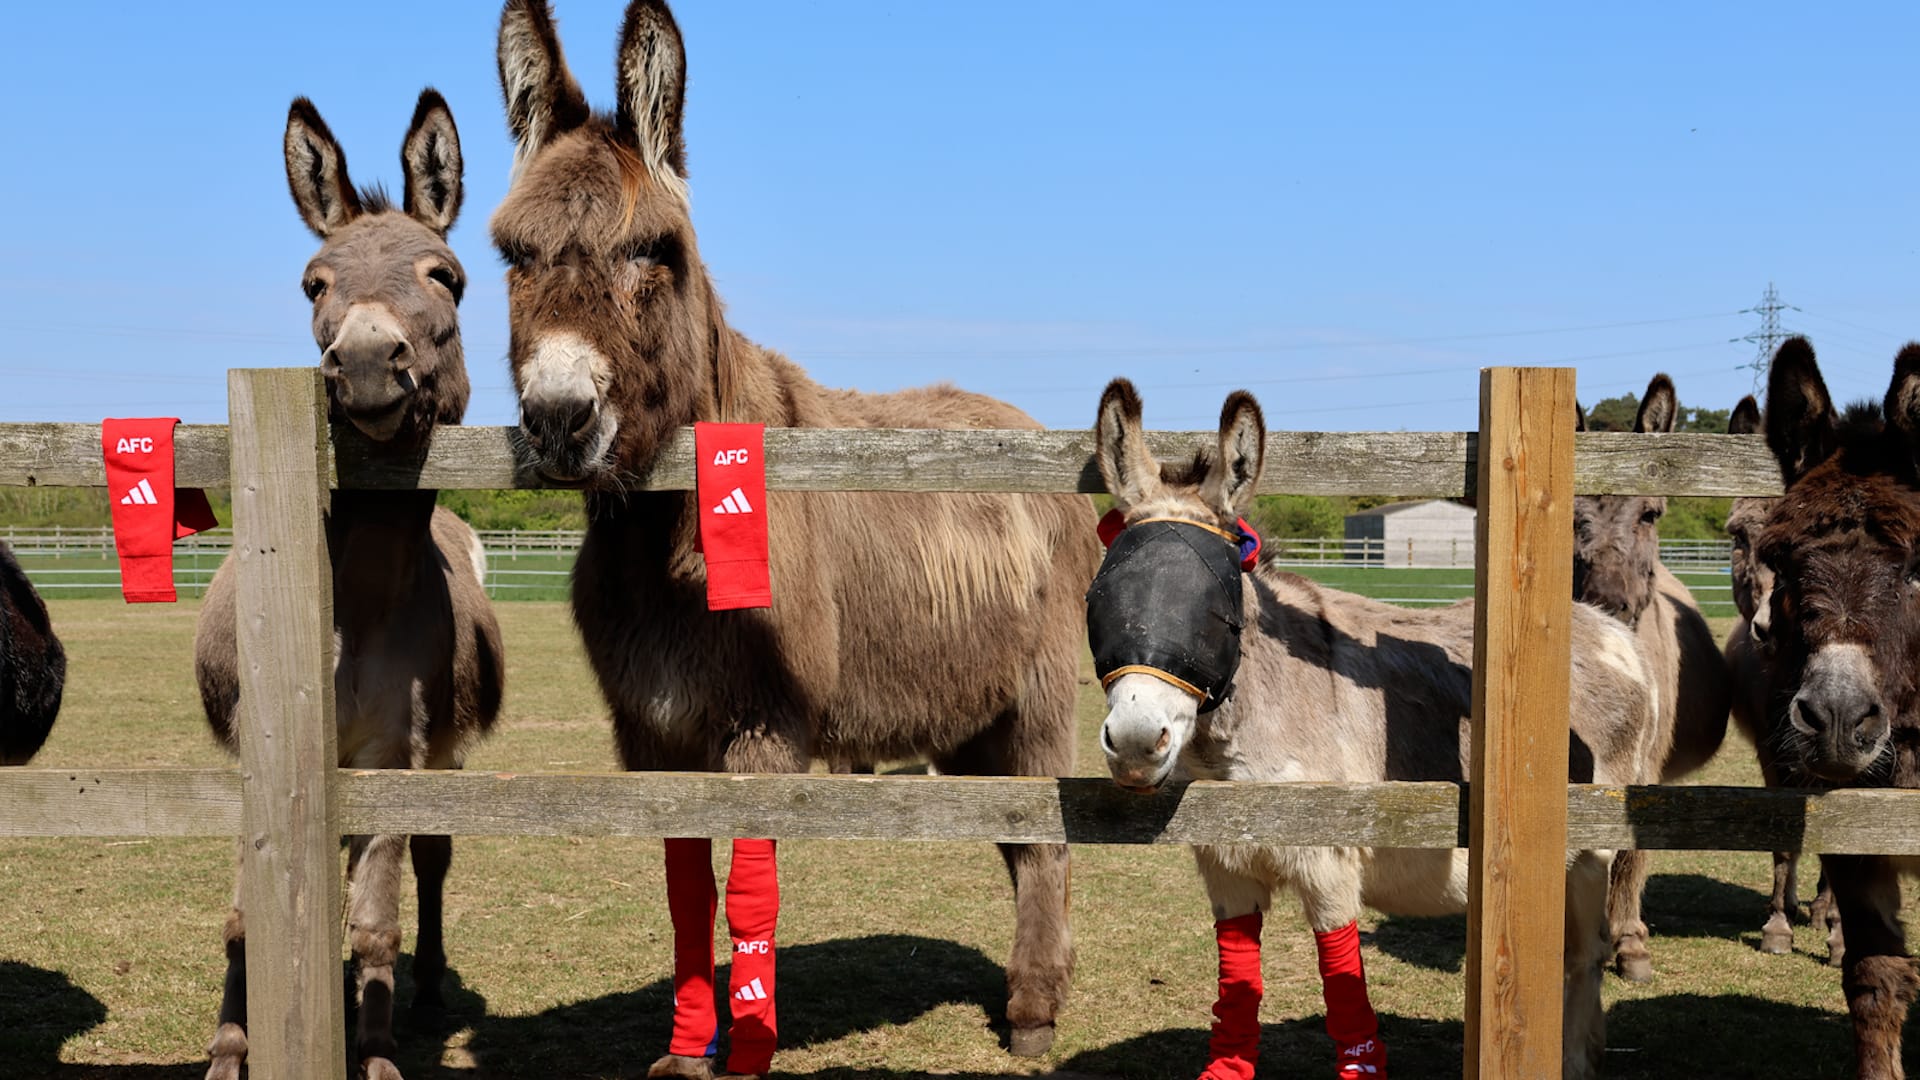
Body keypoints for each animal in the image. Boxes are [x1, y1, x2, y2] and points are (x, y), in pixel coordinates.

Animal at [192, 91, 504, 1080]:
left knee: (433, 862)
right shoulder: (264, 752)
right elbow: (244, 917)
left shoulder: (392, 754)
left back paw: (426, 987)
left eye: (447, 277)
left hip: (442, 758)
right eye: (313, 285)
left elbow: (374, 926)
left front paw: (374, 1052)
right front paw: (231, 1047)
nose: (366, 362)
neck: (356, 598)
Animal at [490, 3, 1099, 1075]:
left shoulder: (765, 729)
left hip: (1032, 696)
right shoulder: (651, 733)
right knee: (1016, 839)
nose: (561, 420)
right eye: (513, 257)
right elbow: (685, 888)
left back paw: (1032, 1016)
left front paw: (747, 1048)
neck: (665, 537)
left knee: (1043, 841)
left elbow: (749, 890)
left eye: (653, 251)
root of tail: (1025, 424)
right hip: (968, 717)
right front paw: (688, 1050)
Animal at [1089, 379, 1659, 1080]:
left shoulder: (1328, 863)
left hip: (1585, 851)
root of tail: (1609, 630)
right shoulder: (1225, 865)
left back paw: (1575, 1057)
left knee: (1583, 954)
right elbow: (1237, 992)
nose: (1136, 742)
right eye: (1103, 596)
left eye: (1214, 610)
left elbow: (1344, 993)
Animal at [1571, 374, 1732, 981]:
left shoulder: (1644, 766)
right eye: (1572, 515)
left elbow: (1629, 850)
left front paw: (1629, 941)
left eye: (1651, 513)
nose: (1607, 604)